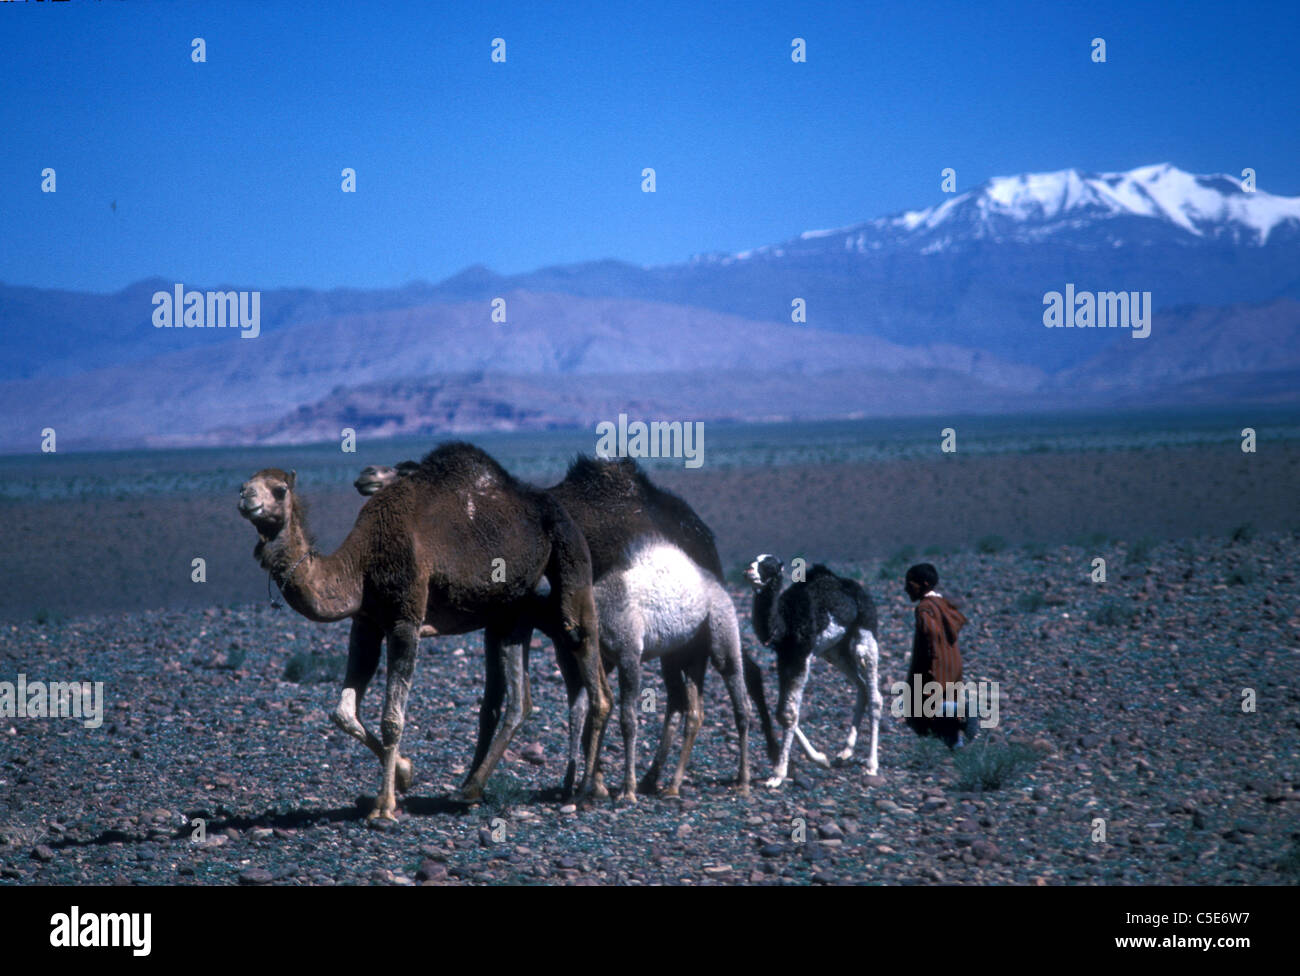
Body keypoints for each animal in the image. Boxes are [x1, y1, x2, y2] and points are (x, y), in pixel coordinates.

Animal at [238, 442, 611, 819]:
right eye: (245, 483)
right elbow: (342, 712)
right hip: (513, 607)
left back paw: (585, 791)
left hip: (568, 553)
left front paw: (384, 807)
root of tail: (551, 503)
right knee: (521, 699)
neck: (360, 562)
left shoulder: (406, 617)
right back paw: (471, 789)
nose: (245, 498)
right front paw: (405, 773)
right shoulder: (366, 621)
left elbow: (392, 719)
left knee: (582, 641)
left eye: (279, 490)